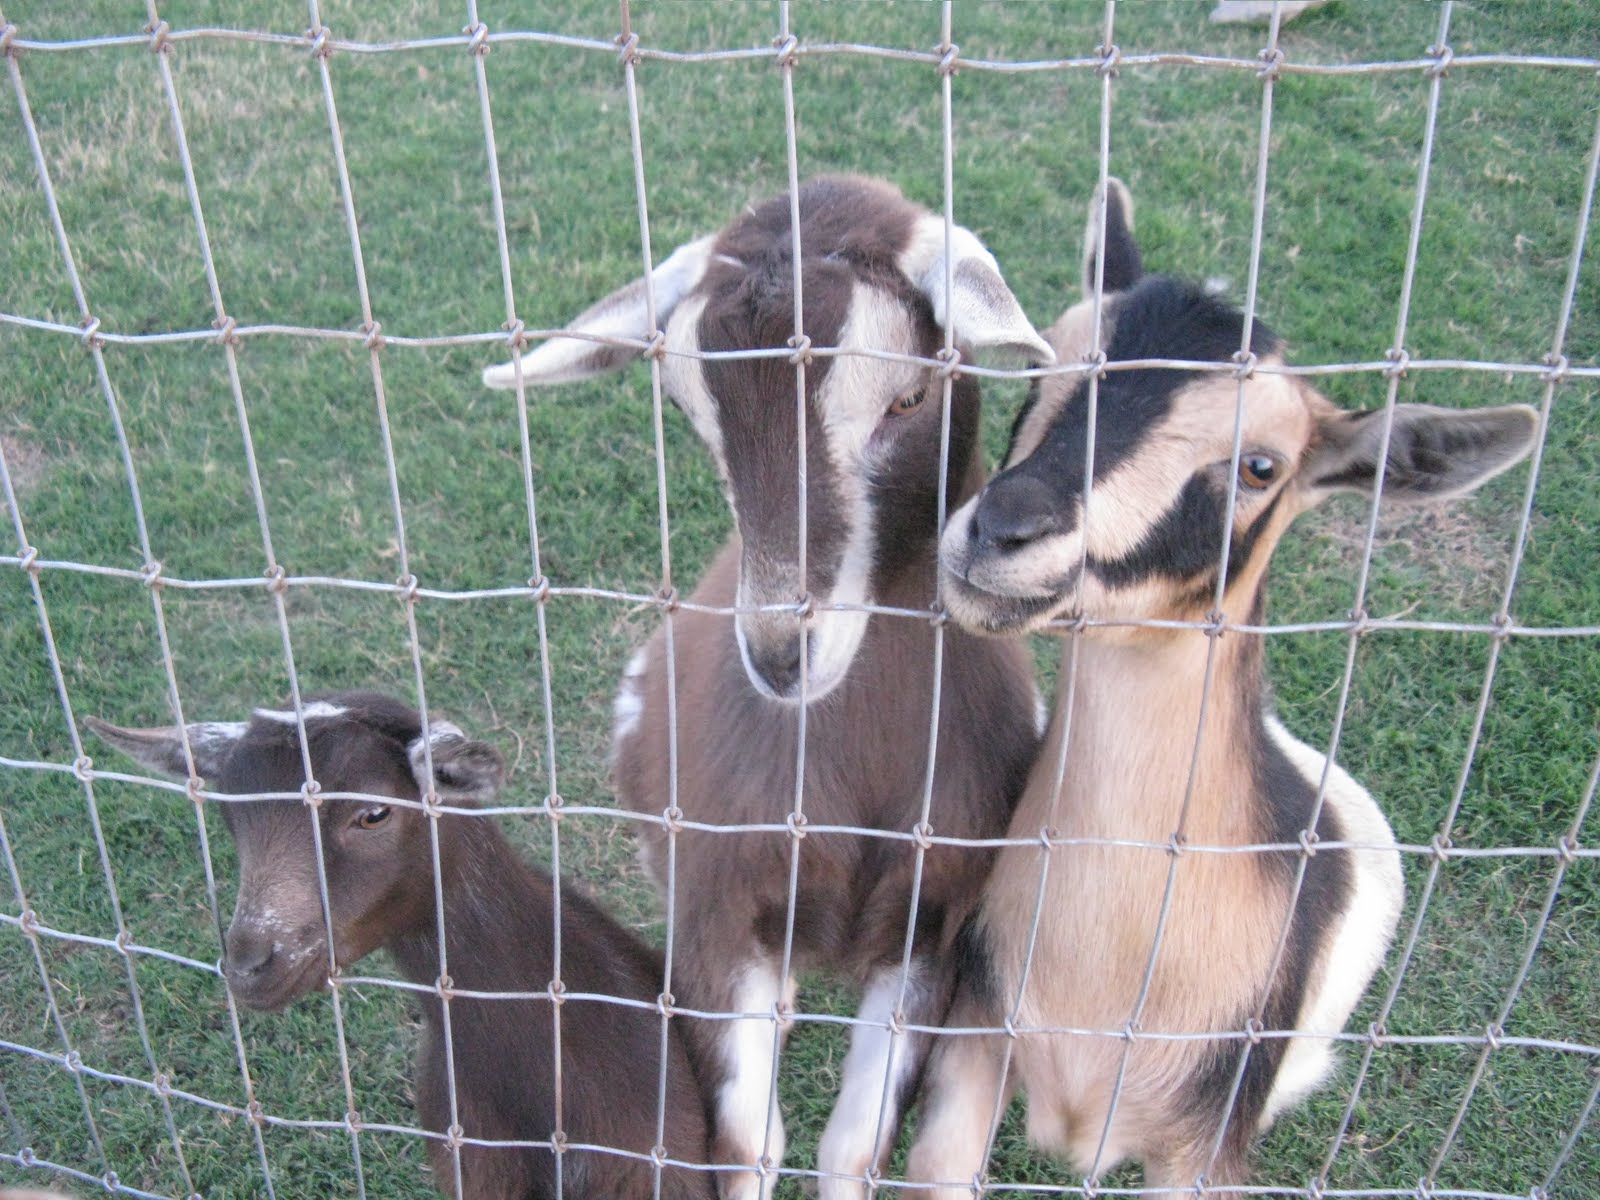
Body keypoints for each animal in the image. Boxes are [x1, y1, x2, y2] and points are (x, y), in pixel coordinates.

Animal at [484, 176, 1048, 1199]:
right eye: (689, 412)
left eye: (910, 395)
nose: (783, 652)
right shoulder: (717, 912)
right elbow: (744, 1145)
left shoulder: (933, 932)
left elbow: (854, 1146)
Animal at [906, 179, 1539, 1195]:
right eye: (1046, 372)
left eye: (1260, 466)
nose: (1005, 530)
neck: (1110, 972)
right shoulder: (972, 1045)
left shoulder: (1208, 1146)